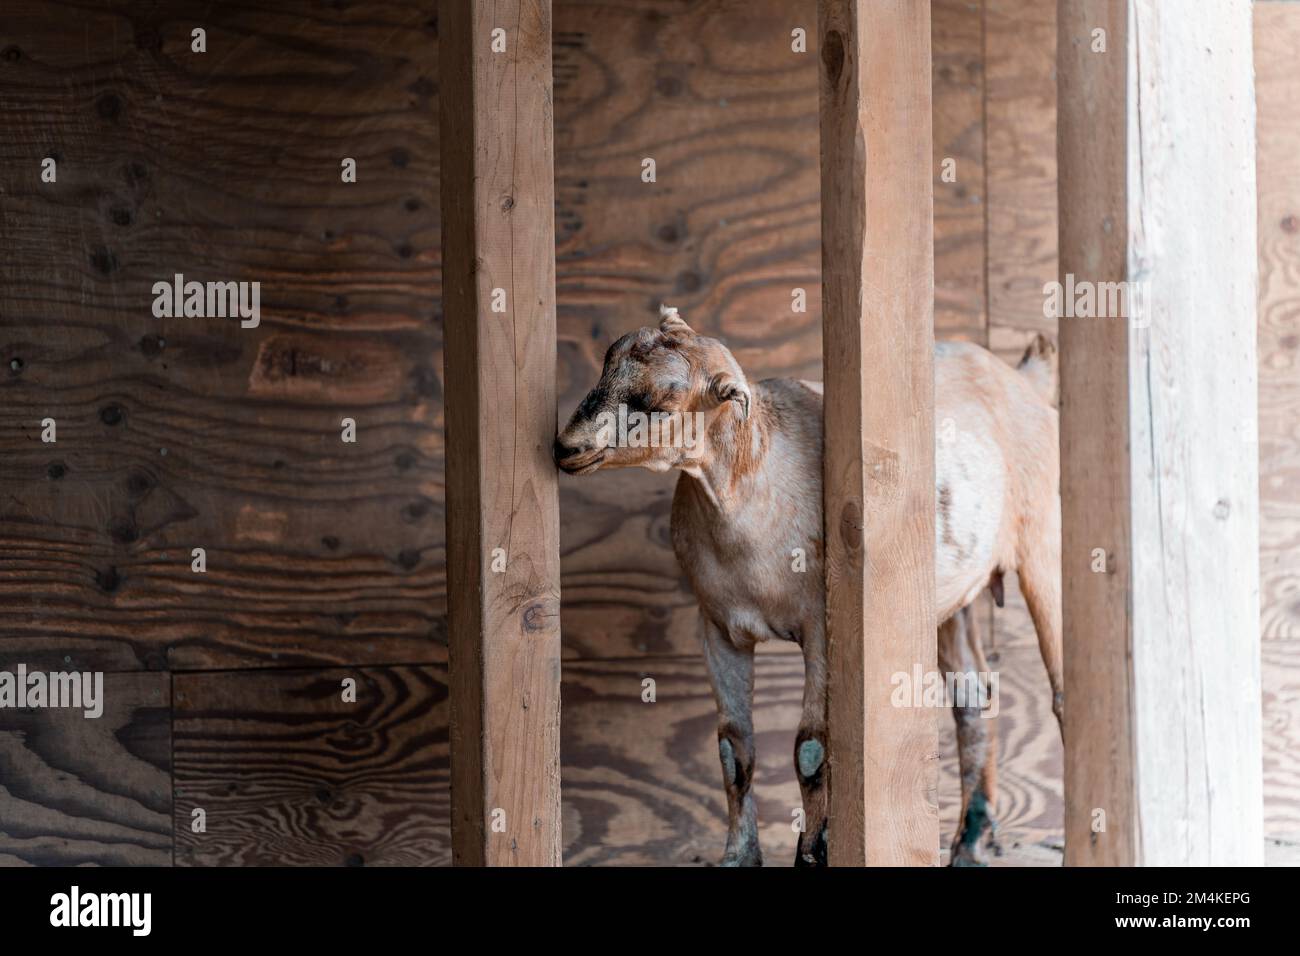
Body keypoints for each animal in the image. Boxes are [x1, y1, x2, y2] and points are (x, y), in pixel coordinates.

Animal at [555, 305, 1063, 867]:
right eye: (606, 365)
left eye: (661, 403)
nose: (567, 447)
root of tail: (1026, 378)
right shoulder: (717, 627)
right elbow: (734, 749)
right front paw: (739, 857)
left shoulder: (822, 626)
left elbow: (811, 749)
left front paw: (813, 852)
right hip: (953, 595)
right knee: (974, 696)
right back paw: (971, 842)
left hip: (1043, 542)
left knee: (1062, 690)